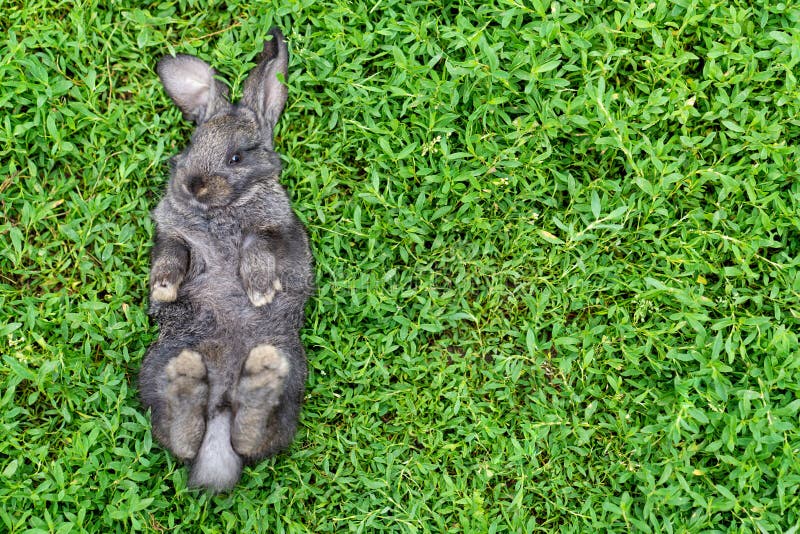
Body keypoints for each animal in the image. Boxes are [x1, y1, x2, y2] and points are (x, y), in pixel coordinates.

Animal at [138, 28, 314, 492]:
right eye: (191, 145)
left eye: (237, 156)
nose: (192, 185)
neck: (221, 209)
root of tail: (219, 406)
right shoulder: (175, 237)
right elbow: (171, 256)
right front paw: (164, 289)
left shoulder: (276, 230)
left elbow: (257, 248)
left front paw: (259, 290)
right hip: (157, 365)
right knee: (183, 439)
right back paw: (189, 378)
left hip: (293, 373)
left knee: (250, 438)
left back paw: (260, 375)